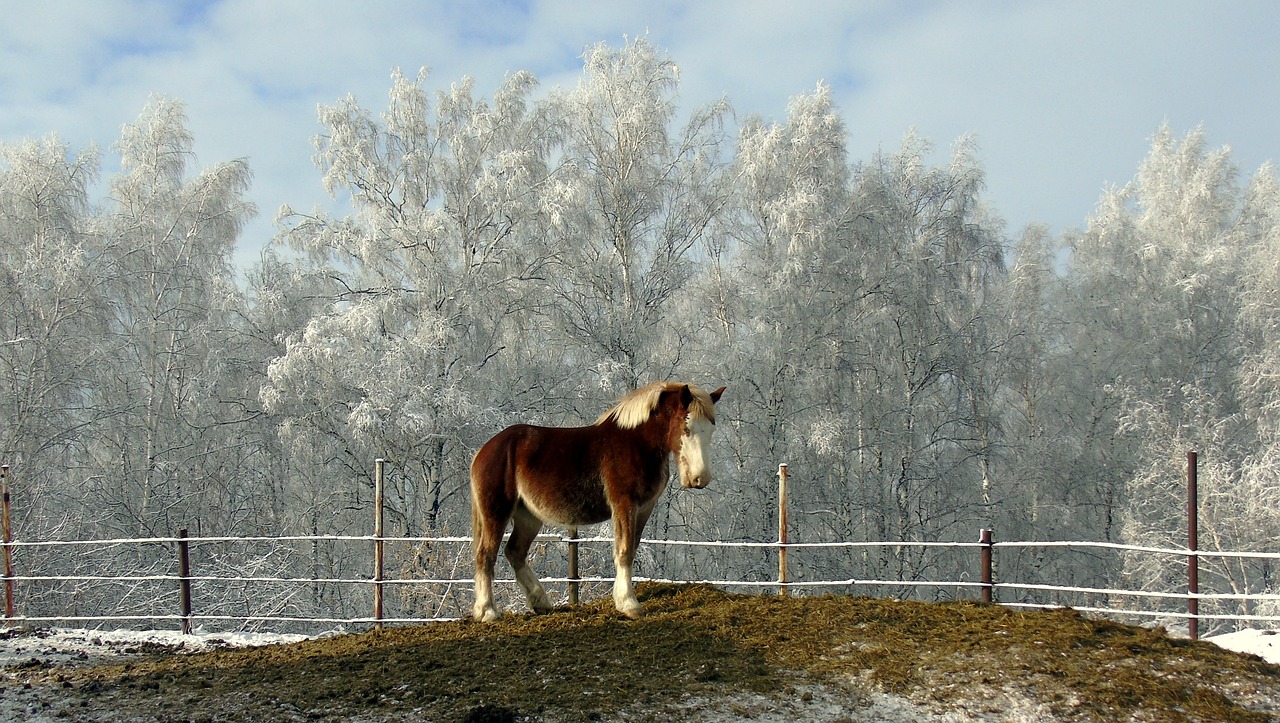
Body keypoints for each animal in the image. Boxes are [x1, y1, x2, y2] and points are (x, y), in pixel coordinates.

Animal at [470, 381, 725, 621]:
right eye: (686, 428)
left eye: (711, 430)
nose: (700, 478)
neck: (636, 443)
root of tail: (484, 451)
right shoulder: (624, 504)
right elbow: (624, 550)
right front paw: (629, 604)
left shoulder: (644, 508)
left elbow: (632, 548)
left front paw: (622, 599)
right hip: (496, 512)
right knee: (485, 555)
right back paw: (487, 612)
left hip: (528, 516)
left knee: (515, 552)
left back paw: (540, 602)